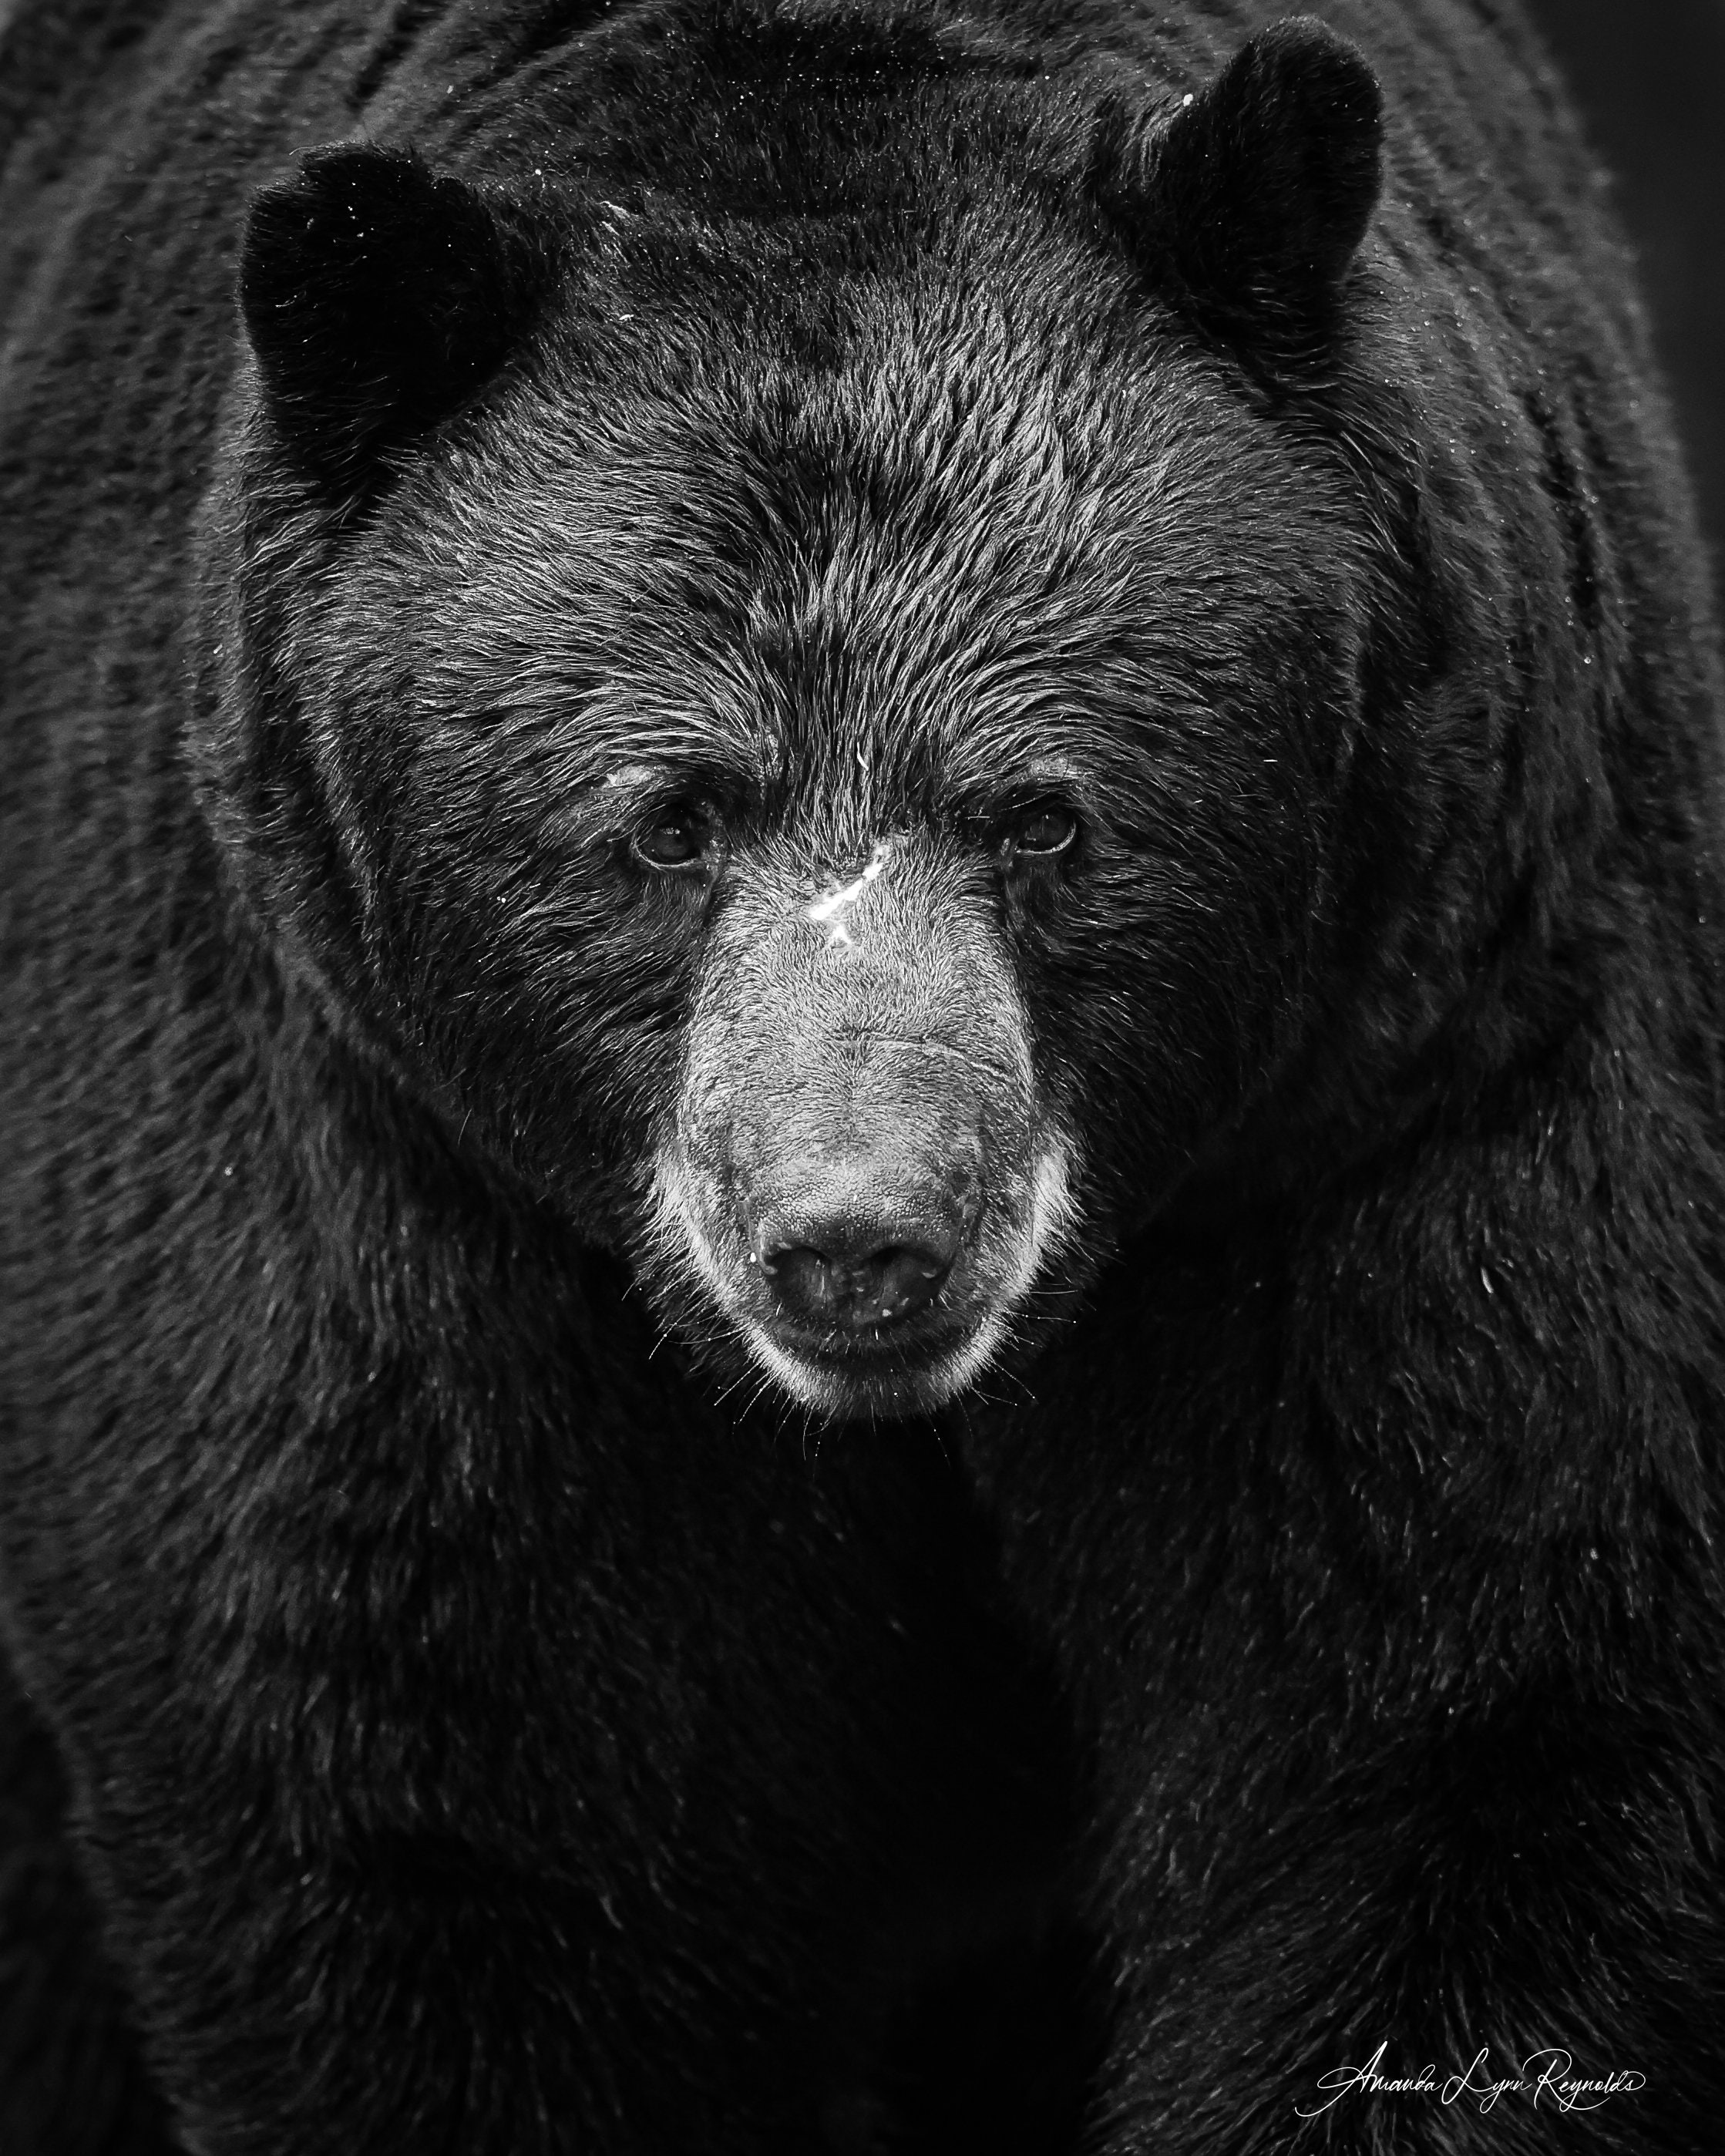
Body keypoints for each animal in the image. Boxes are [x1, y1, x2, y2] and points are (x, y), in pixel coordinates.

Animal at [3, 0, 1724, 2148]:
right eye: (665, 823)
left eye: (1043, 816)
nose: (859, 1237)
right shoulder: (357, 1157)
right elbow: (438, 1786)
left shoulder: (1402, 1076)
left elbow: (1461, 1694)